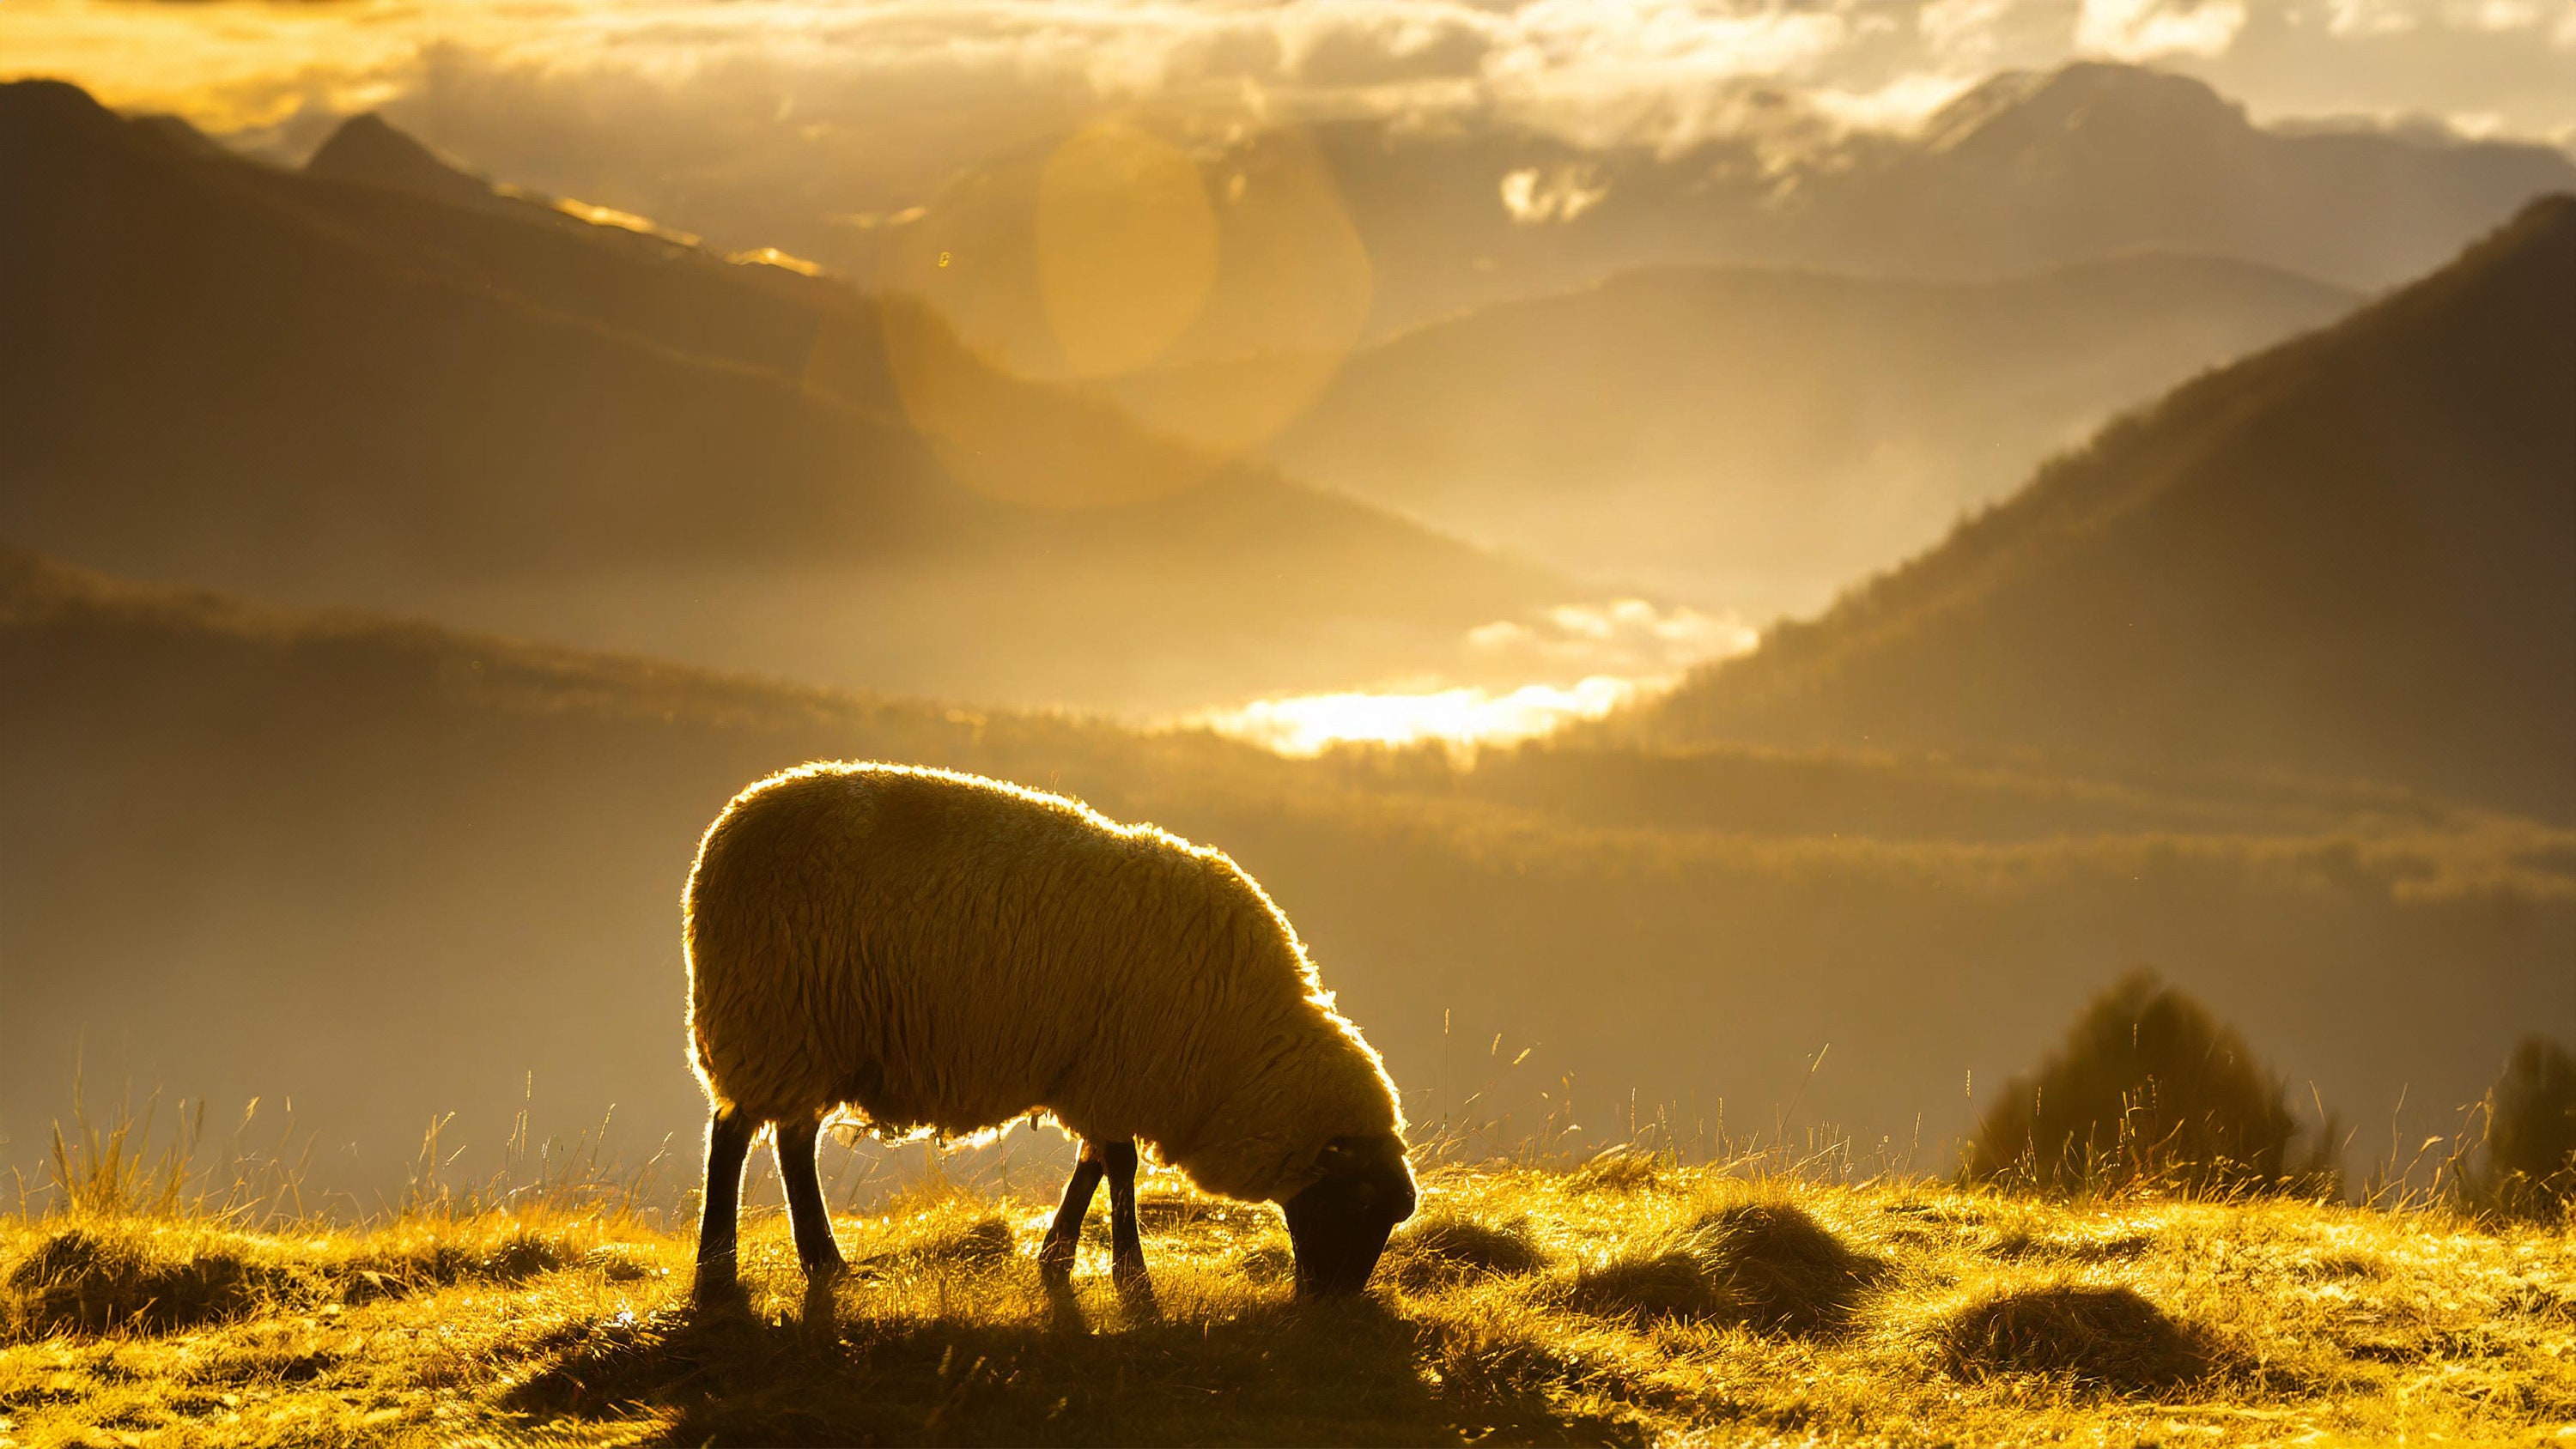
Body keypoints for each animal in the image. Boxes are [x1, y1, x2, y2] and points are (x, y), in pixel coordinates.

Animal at [684, 761, 1418, 1301]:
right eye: (1359, 1201)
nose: (1334, 1303)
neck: (1239, 1055)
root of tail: (724, 833)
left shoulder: (1095, 1073)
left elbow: (1092, 1163)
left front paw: (1058, 1255)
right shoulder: (1120, 1068)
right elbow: (1119, 1166)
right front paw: (1130, 1275)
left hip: (803, 1036)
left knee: (790, 1139)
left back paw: (822, 1262)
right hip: (770, 1019)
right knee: (734, 1136)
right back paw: (721, 1267)